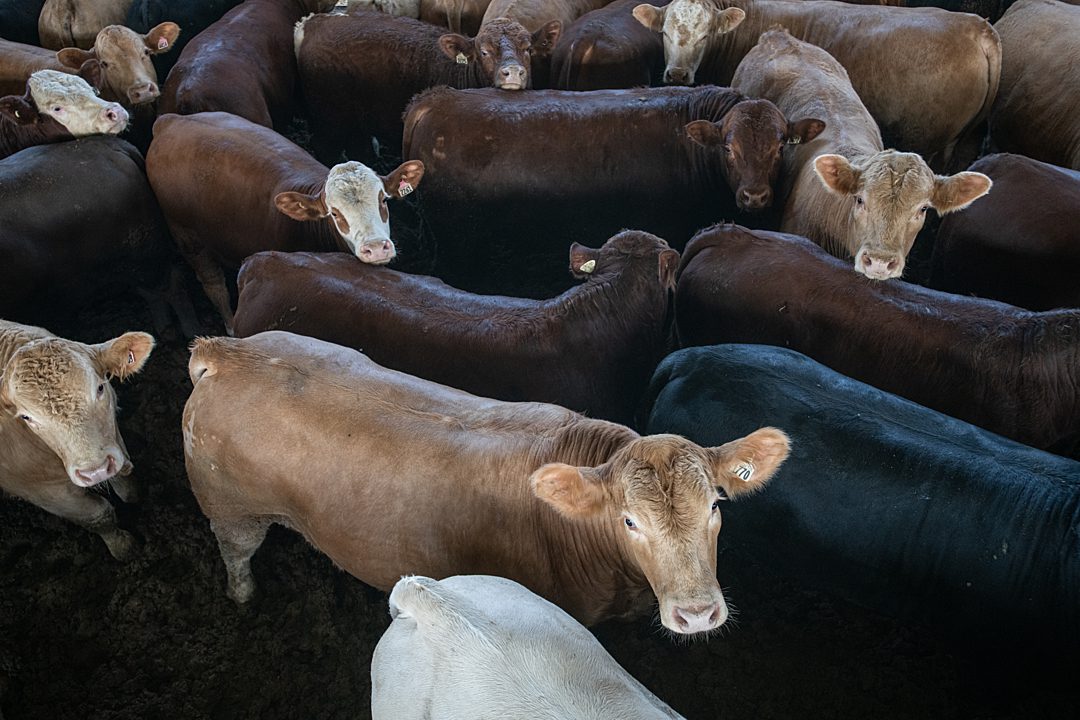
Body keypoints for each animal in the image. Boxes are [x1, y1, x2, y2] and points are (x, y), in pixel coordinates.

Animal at [0, 136, 195, 336]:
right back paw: (165, 329)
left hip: (145, 254)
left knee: (173, 285)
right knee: (151, 291)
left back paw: (189, 330)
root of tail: (110, 144)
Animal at [0, 319, 154, 560]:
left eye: (100, 387)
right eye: (27, 417)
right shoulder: (41, 491)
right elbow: (98, 516)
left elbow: (125, 482)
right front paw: (124, 548)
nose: (95, 471)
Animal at [145, 111, 424, 334]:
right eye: (334, 213)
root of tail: (170, 120)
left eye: (383, 200)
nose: (376, 248)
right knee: (214, 286)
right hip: (186, 234)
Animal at [183, 331, 791, 633]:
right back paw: (244, 597)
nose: (697, 613)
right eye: (629, 520)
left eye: (715, 507)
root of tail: (225, 351)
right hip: (231, 507)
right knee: (236, 553)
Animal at [632, 0, 1001, 170]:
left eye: (705, 35)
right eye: (664, 32)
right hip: (968, 139)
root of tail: (979, 28)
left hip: (930, 140)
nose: (677, 75)